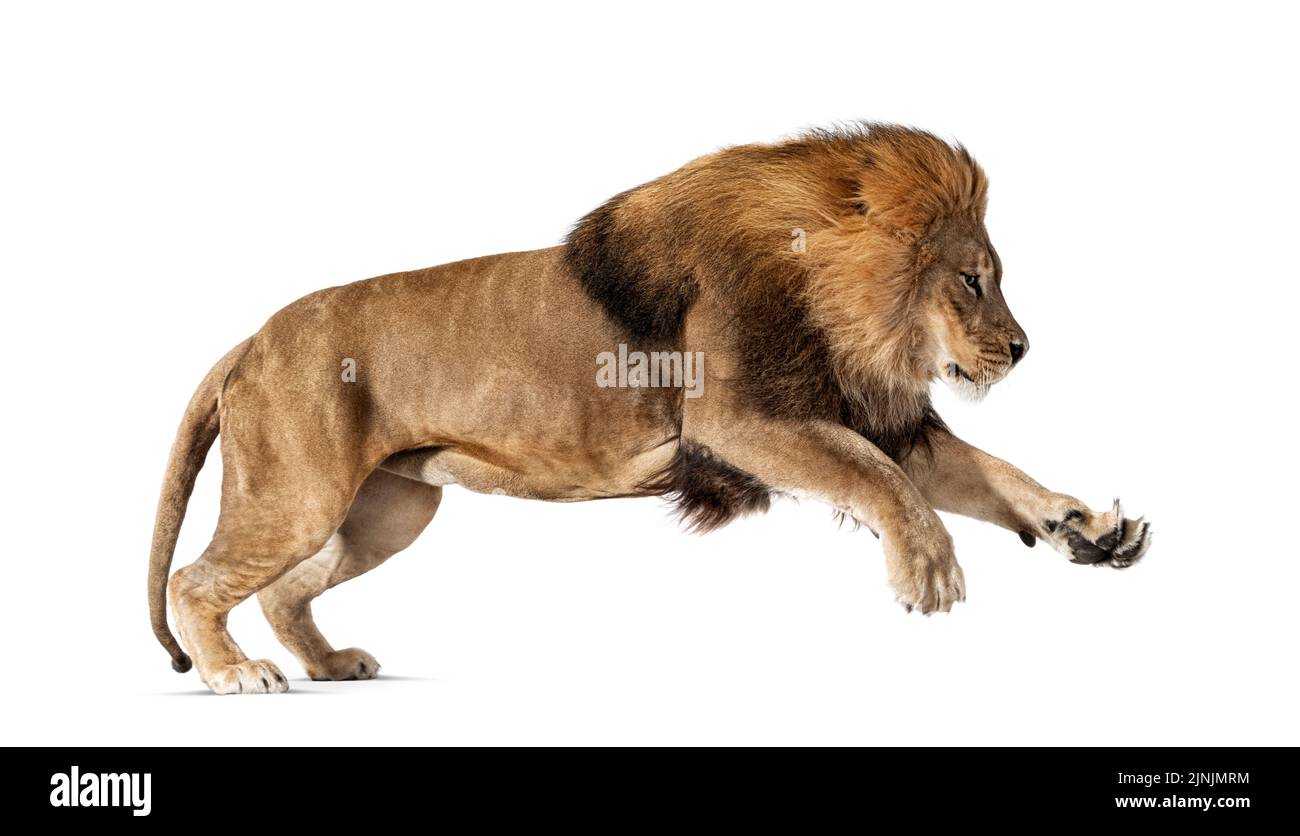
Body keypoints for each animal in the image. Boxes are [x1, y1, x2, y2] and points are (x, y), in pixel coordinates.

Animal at [149, 123, 1151, 694]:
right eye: (973, 280)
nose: (1021, 349)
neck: (839, 304)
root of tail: (250, 339)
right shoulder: (739, 423)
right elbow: (877, 479)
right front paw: (928, 568)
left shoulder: (866, 417)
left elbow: (996, 475)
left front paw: (1087, 529)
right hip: (299, 493)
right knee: (196, 581)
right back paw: (235, 676)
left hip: (391, 510)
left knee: (281, 587)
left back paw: (327, 665)